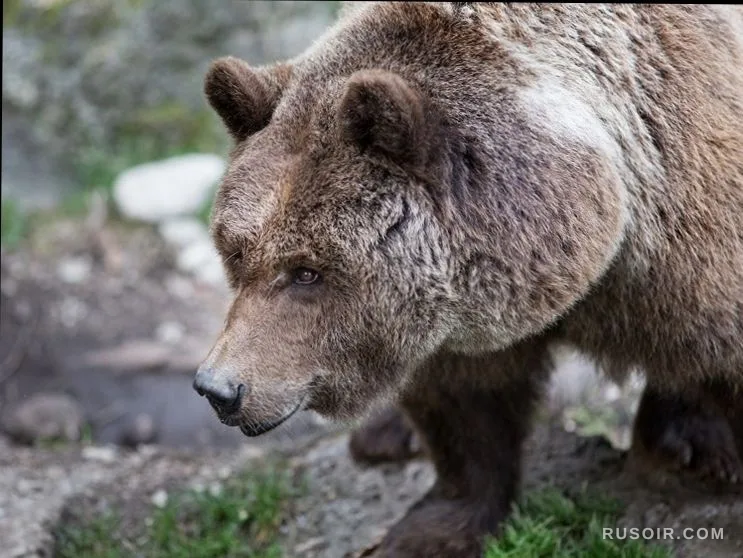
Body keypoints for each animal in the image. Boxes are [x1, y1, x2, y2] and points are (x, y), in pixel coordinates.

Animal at [192, 3, 743, 556]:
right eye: (236, 252)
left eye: (307, 270)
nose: (219, 389)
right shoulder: (449, 315)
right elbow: (464, 405)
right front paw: (432, 526)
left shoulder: (686, 235)